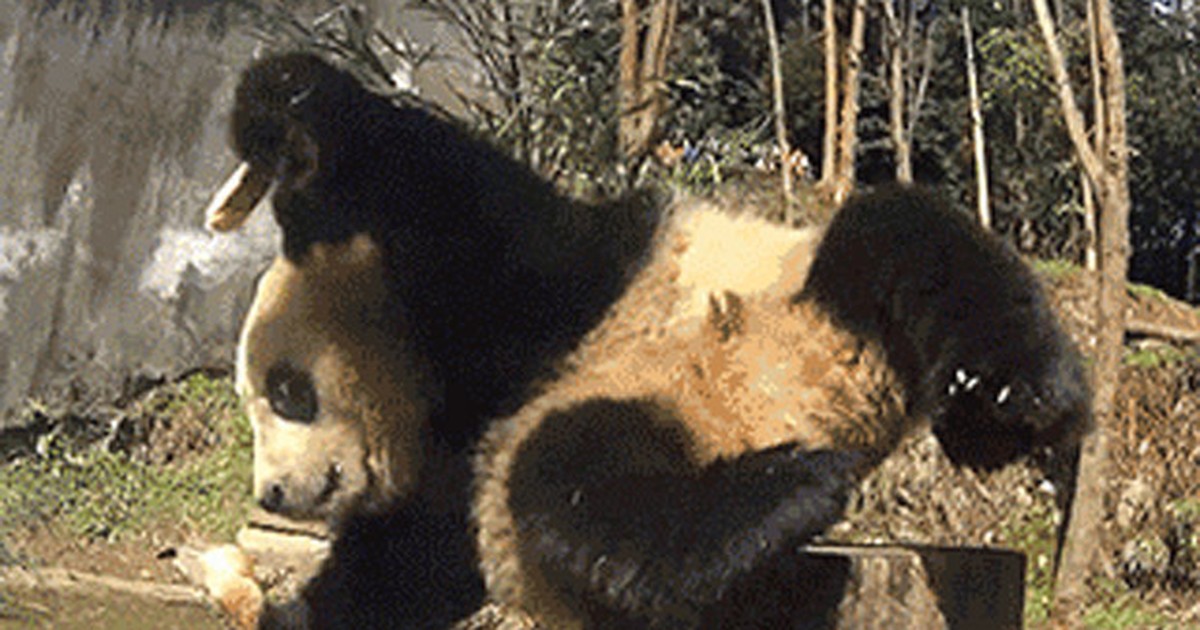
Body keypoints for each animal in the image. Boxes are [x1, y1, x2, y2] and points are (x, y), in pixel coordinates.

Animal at [206, 52, 1090, 628]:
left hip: (818, 295)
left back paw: (1001, 406)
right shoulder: (453, 476)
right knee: (579, 486)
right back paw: (787, 487)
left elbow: (427, 180)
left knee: (913, 243)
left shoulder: (530, 276)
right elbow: (400, 570)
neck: (438, 383)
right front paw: (291, 610)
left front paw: (284, 120)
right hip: (641, 409)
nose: (272, 495)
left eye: (288, 391)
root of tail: (837, 402)